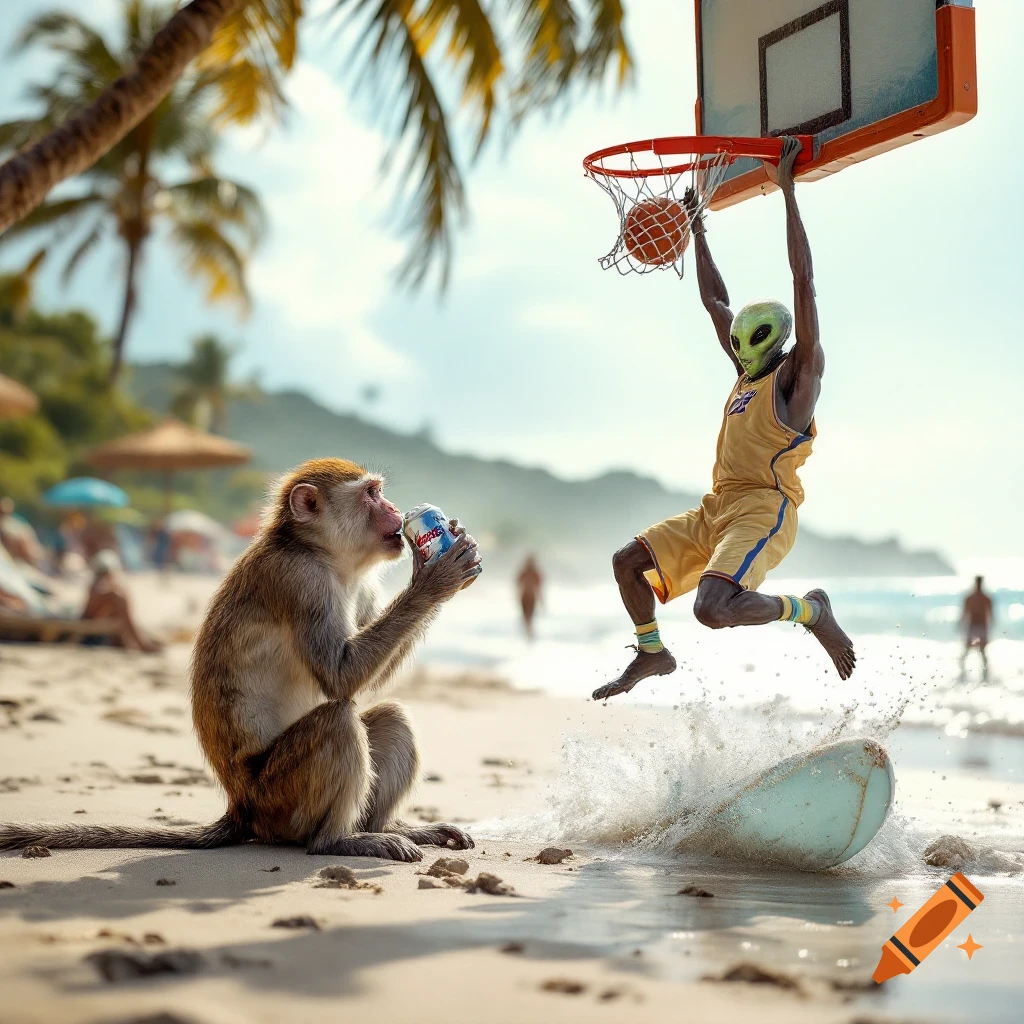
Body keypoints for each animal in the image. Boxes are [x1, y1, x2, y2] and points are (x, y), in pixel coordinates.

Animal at [0, 458, 479, 861]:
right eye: (371, 494)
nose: (397, 510)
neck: (322, 554)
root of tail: (240, 806)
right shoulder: (301, 581)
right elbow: (339, 678)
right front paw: (436, 576)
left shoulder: (361, 585)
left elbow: (367, 680)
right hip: (278, 801)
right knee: (338, 721)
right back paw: (338, 841)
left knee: (390, 717)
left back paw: (392, 828)